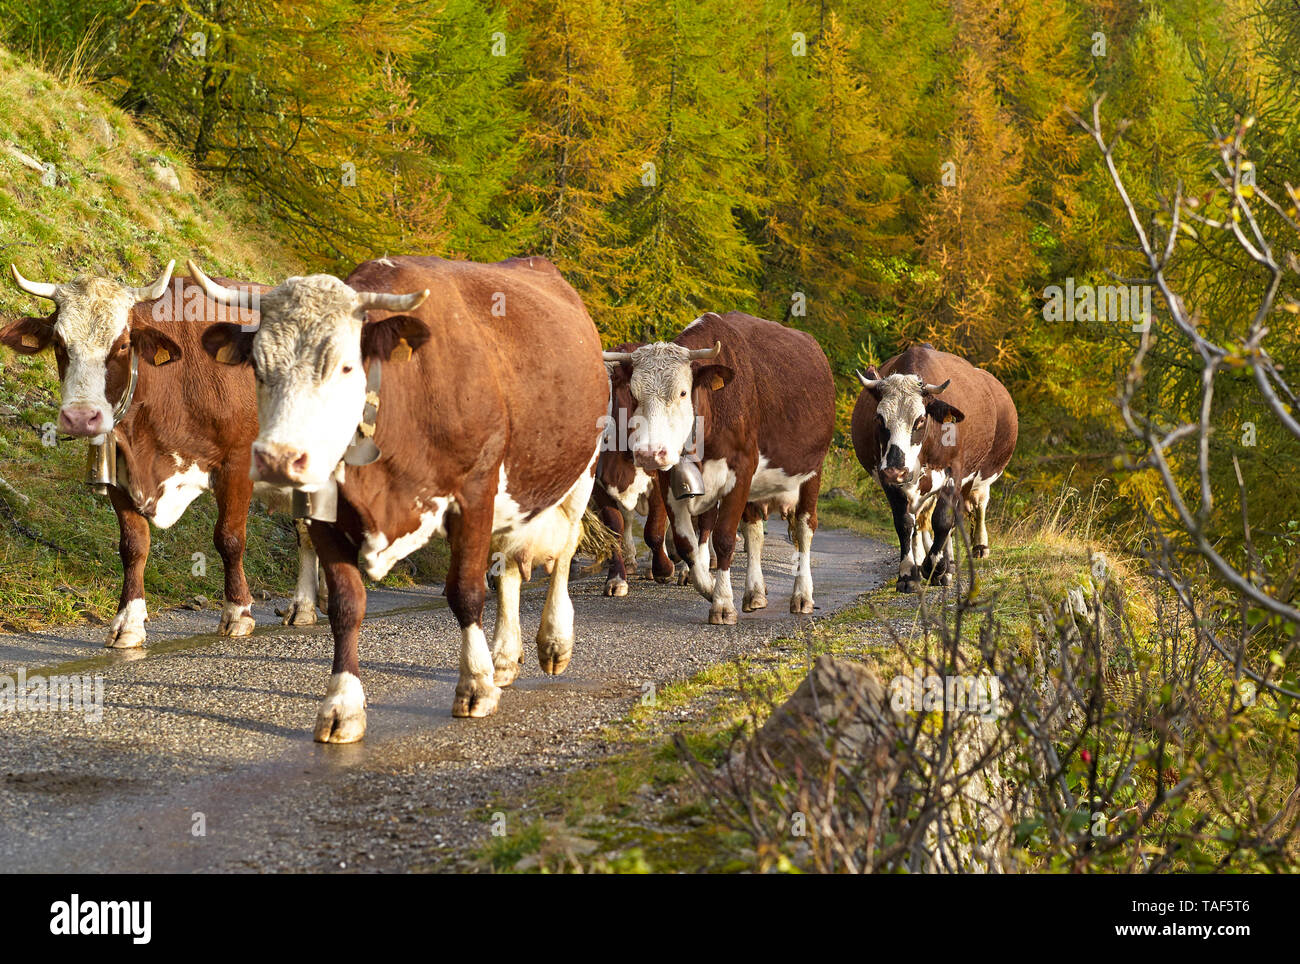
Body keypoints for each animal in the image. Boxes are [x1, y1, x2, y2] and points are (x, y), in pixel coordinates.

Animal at [1, 263, 324, 646]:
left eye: (123, 344)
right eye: (60, 343)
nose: (81, 417)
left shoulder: (238, 462)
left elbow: (229, 538)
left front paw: (237, 612)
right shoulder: (122, 470)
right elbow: (133, 545)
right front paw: (128, 622)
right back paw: (307, 605)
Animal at [191, 254, 608, 743]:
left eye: (346, 366)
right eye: (258, 368)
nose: (278, 458)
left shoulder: (475, 494)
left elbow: (465, 592)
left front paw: (475, 685)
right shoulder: (324, 513)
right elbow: (346, 605)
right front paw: (342, 705)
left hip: (579, 473)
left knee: (564, 552)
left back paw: (553, 642)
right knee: (508, 566)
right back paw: (504, 658)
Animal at [602, 311, 835, 624]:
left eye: (683, 392)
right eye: (634, 395)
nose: (650, 453)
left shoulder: (741, 472)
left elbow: (723, 538)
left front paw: (722, 602)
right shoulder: (671, 481)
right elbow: (687, 542)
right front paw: (708, 586)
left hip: (812, 471)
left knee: (804, 528)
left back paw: (802, 595)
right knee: (754, 532)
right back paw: (754, 592)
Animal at [850, 344, 1018, 592]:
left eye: (920, 419)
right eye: (879, 419)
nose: (896, 470)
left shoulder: (954, 474)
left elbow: (943, 520)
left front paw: (937, 568)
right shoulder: (887, 478)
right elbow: (904, 523)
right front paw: (908, 574)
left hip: (973, 476)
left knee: (973, 507)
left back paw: (968, 553)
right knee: (920, 519)